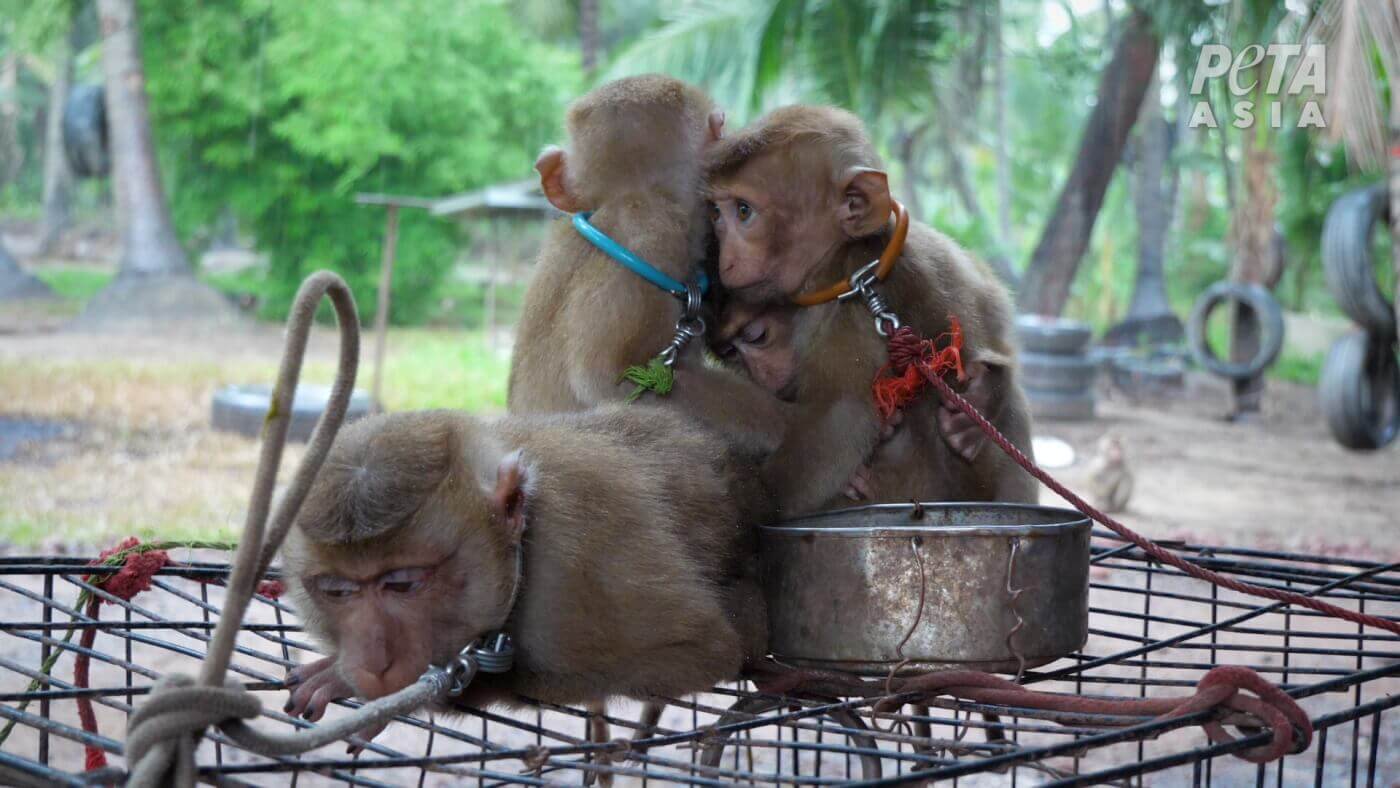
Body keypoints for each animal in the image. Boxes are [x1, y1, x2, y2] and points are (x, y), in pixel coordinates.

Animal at [703, 105, 1038, 515]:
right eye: (716, 215)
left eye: (744, 211)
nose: (726, 261)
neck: (848, 271)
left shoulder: (882, 288)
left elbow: (841, 420)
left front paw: (764, 499)